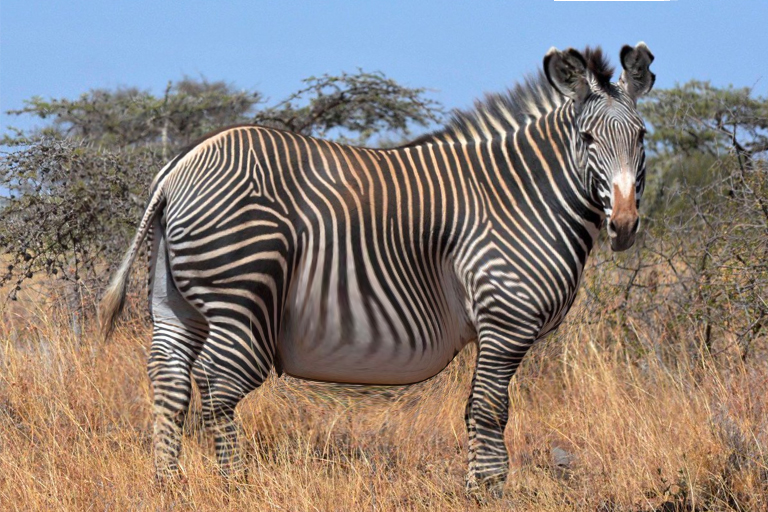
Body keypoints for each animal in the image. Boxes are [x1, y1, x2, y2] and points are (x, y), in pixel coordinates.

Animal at [100, 43, 655, 496]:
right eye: (587, 138)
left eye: (642, 137)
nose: (625, 225)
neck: (524, 196)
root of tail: (180, 166)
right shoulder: (507, 320)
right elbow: (488, 407)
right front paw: (489, 489)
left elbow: (481, 406)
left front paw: (482, 484)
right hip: (243, 296)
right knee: (216, 382)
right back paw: (233, 483)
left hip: (174, 302)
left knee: (169, 380)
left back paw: (169, 482)